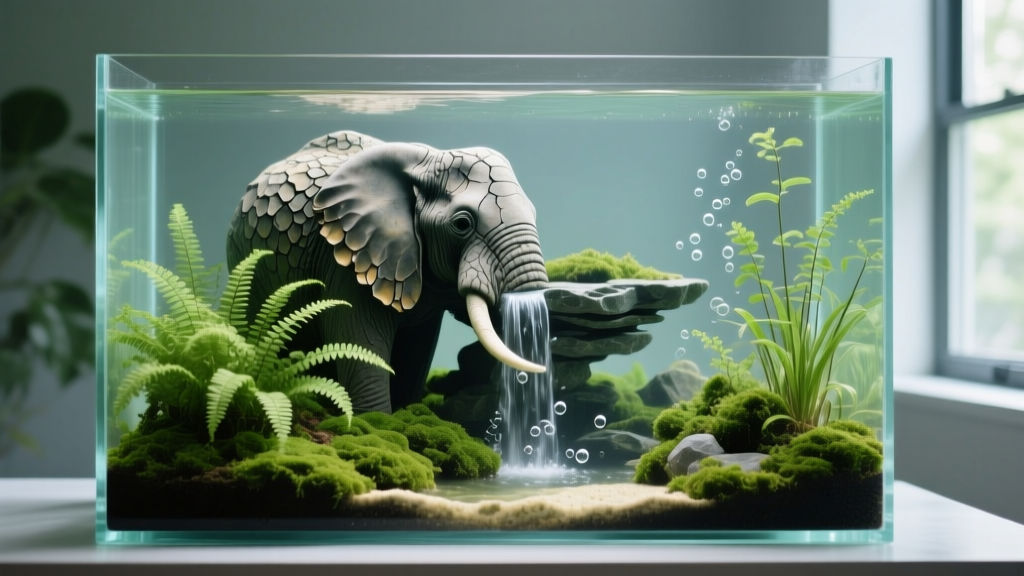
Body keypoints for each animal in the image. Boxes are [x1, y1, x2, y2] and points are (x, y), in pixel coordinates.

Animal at [227, 130, 548, 414]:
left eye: (535, 214)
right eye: (462, 224)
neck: (428, 160)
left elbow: (416, 350)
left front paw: (407, 413)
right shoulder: (346, 261)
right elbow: (362, 345)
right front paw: (376, 421)